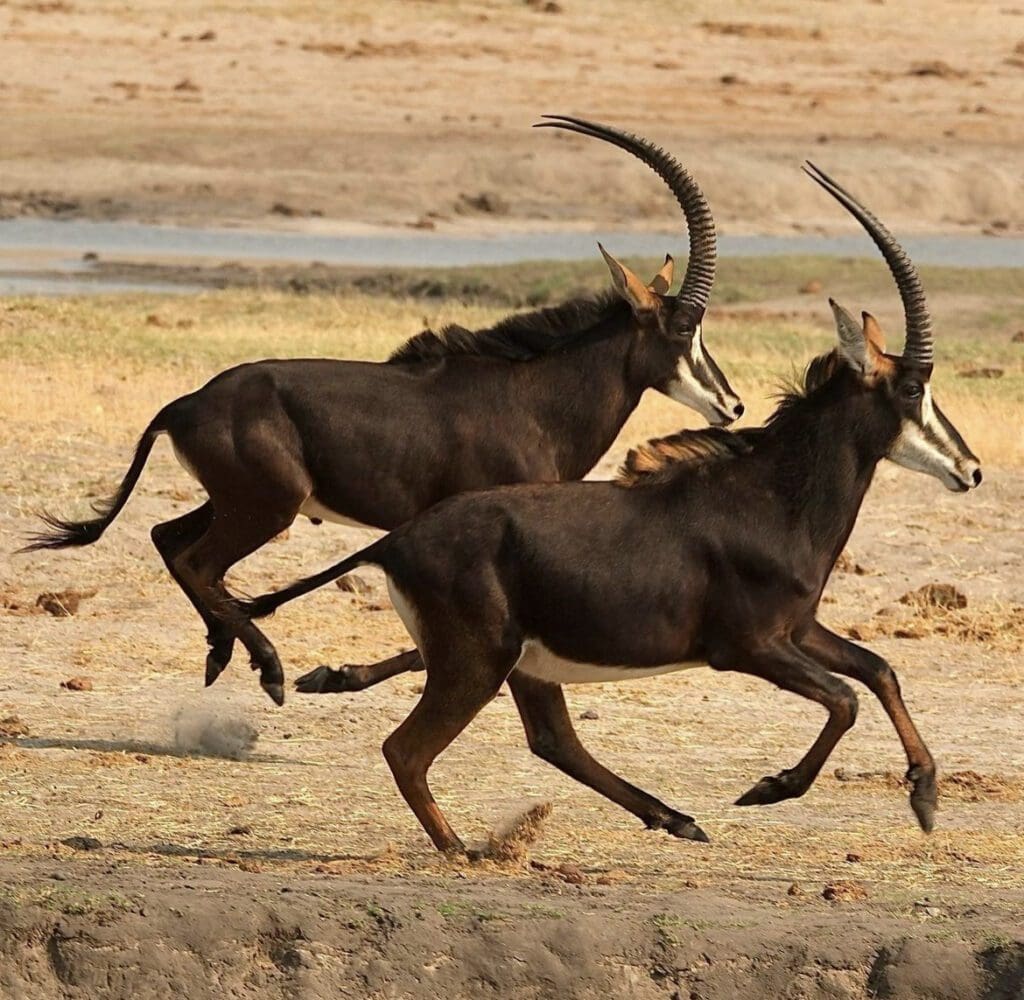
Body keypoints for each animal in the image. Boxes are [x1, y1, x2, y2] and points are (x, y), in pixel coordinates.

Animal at [22, 117, 742, 707]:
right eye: (684, 329)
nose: (731, 405)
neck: (532, 396)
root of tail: (185, 403)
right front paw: (329, 676)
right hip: (268, 506)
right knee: (198, 561)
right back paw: (270, 670)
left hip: (234, 502)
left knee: (168, 539)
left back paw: (222, 653)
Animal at [236, 163, 981, 854]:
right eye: (911, 388)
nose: (970, 470)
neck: (773, 495)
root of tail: (397, 541)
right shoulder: (749, 646)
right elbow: (847, 698)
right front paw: (770, 788)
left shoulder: (799, 629)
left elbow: (879, 670)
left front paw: (925, 796)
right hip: (482, 662)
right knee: (410, 749)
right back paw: (465, 849)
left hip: (519, 664)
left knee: (549, 739)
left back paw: (672, 819)